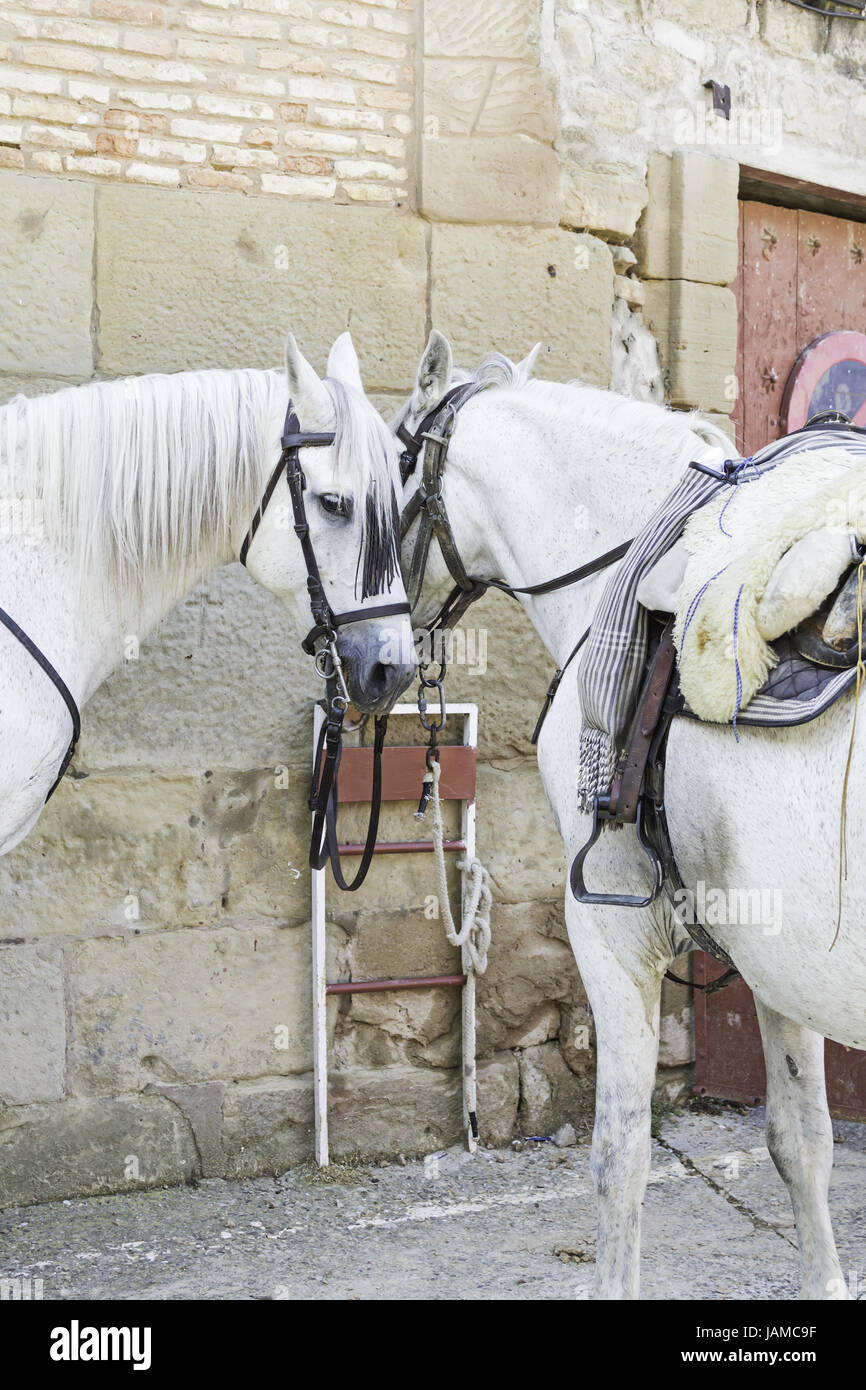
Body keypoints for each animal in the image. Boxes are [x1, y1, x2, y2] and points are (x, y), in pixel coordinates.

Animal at [326, 330, 865, 1300]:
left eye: (392, 469)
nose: (363, 661)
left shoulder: (613, 929)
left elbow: (620, 1159)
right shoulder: (781, 957)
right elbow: (801, 1143)